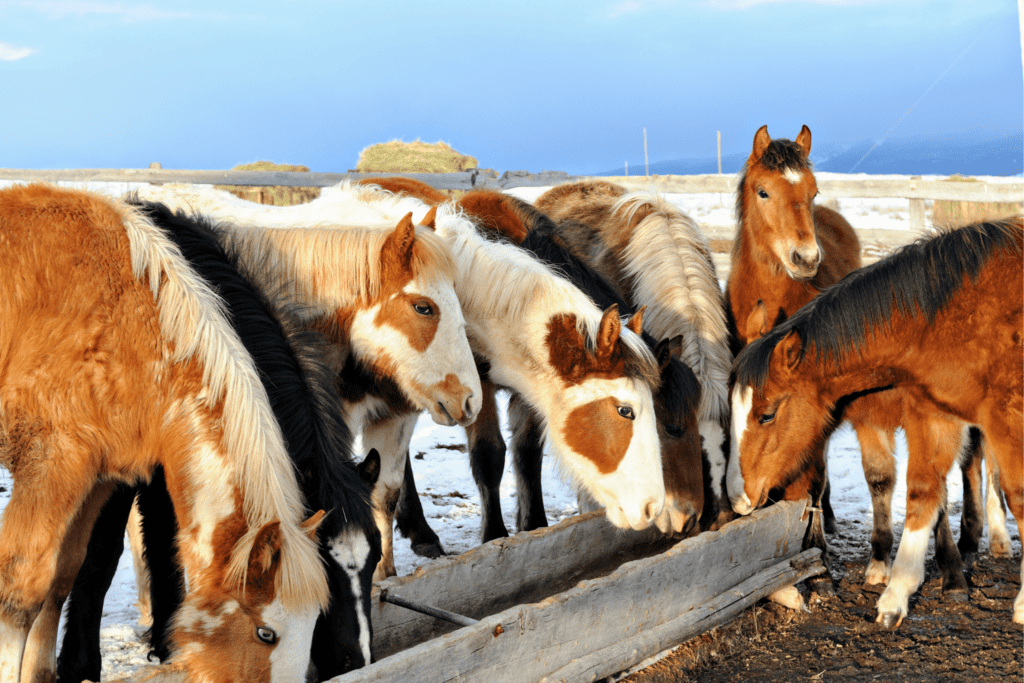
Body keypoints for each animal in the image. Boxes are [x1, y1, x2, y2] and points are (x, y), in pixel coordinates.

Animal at [52, 199, 384, 682]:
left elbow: (166, 545)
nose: (355, 664)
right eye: (322, 566)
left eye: (375, 554)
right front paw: (78, 666)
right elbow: (100, 558)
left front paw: (168, 647)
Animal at [728, 217, 1023, 627]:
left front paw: (962, 583)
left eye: (766, 414)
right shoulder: (913, 417)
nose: (739, 498)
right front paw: (890, 581)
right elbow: (909, 488)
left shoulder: (985, 417)